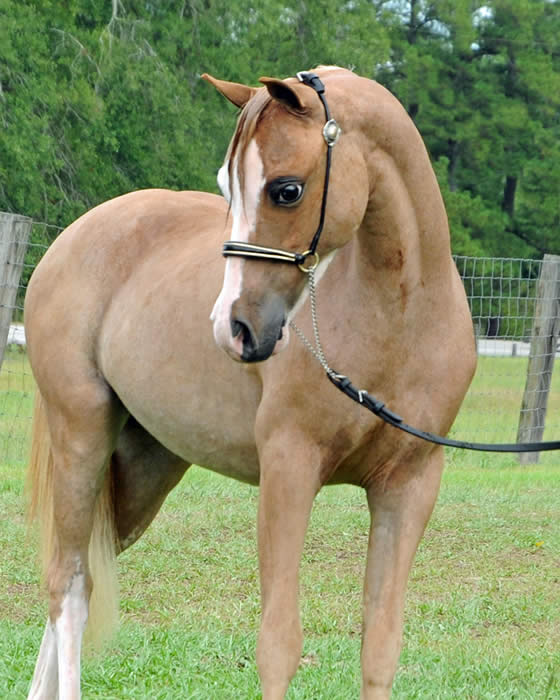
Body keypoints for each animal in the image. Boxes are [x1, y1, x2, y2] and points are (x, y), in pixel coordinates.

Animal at [24, 66, 476, 699]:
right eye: (227, 184)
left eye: (286, 190)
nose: (231, 328)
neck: (401, 320)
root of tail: (72, 237)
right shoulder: (289, 471)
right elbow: (279, 644)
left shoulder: (408, 487)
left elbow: (381, 646)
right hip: (81, 436)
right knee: (67, 587)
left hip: (142, 469)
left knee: (80, 575)